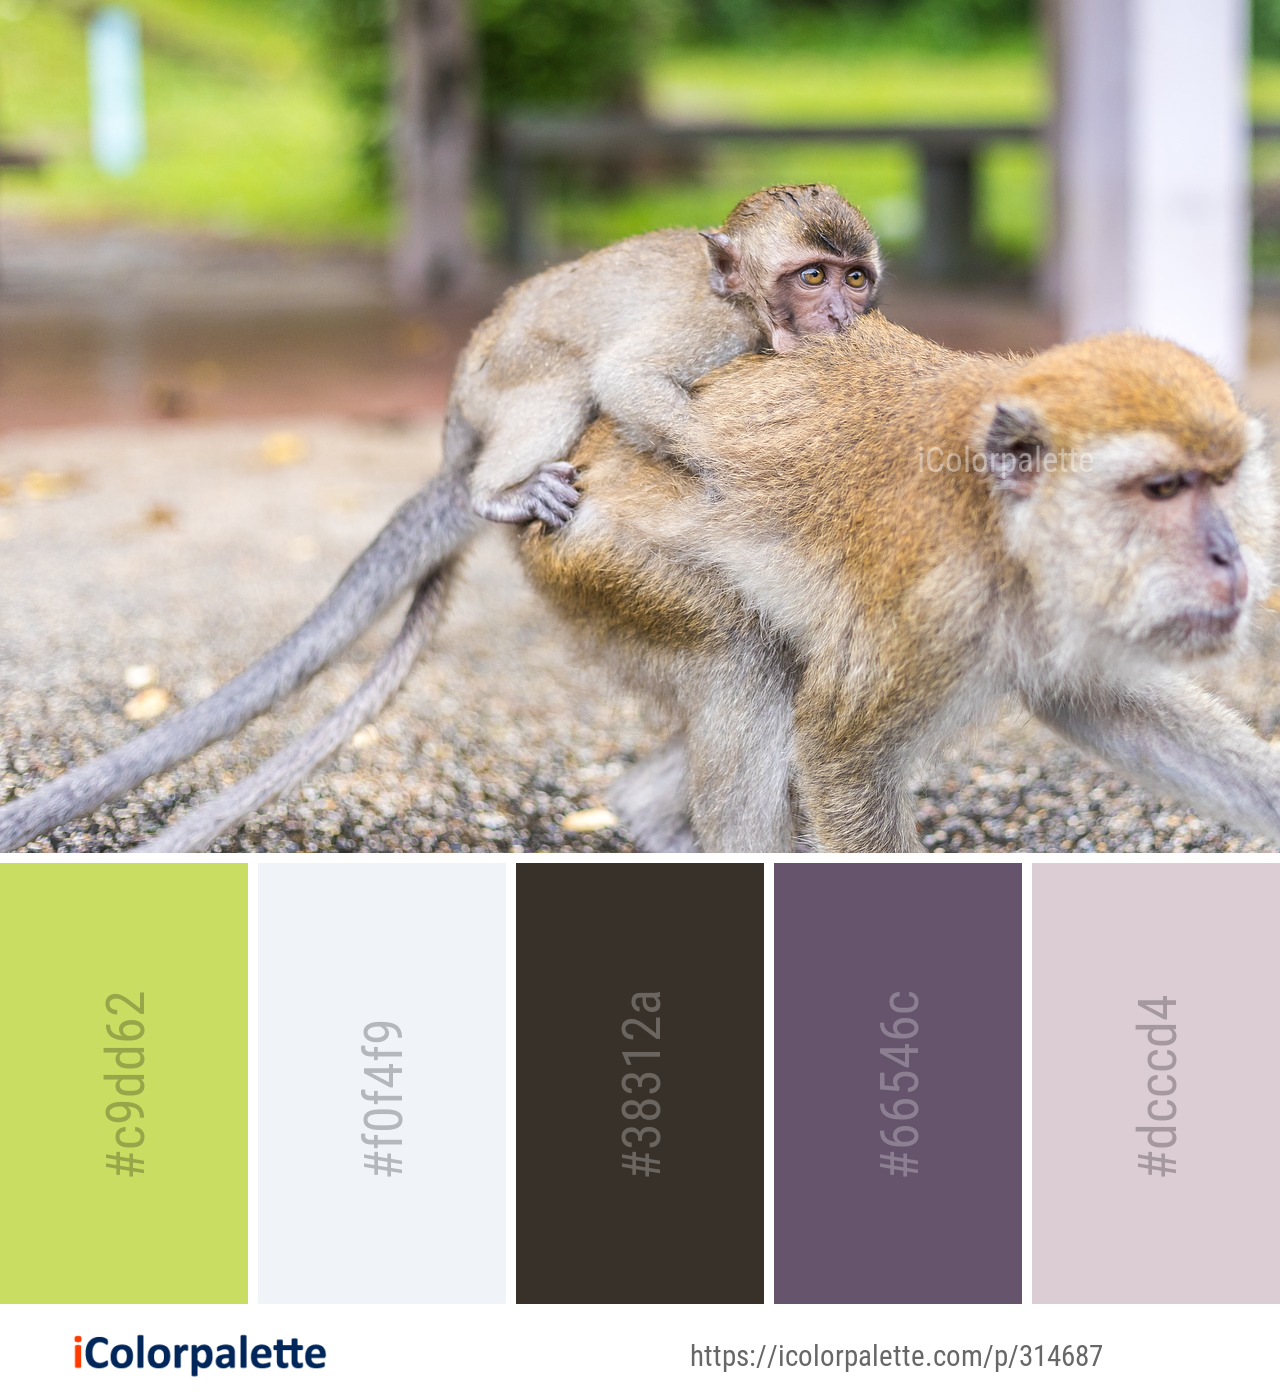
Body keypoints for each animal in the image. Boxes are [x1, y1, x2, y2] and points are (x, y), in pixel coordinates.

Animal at [0, 185, 882, 852]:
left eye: (856, 279)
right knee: (564, 381)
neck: (744, 305)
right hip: (504, 385)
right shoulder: (712, 330)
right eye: (810, 277)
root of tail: (457, 409)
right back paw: (494, 492)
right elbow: (627, 379)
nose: (841, 318)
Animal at [514, 311, 1280, 853]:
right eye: (1164, 488)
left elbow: (1105, 707)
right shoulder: (934, 607)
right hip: (598, 561)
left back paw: (647, 812)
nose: (1229, 556)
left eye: (1223, 480)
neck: (1006, 530)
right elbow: (840, 759)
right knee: (742, 656)